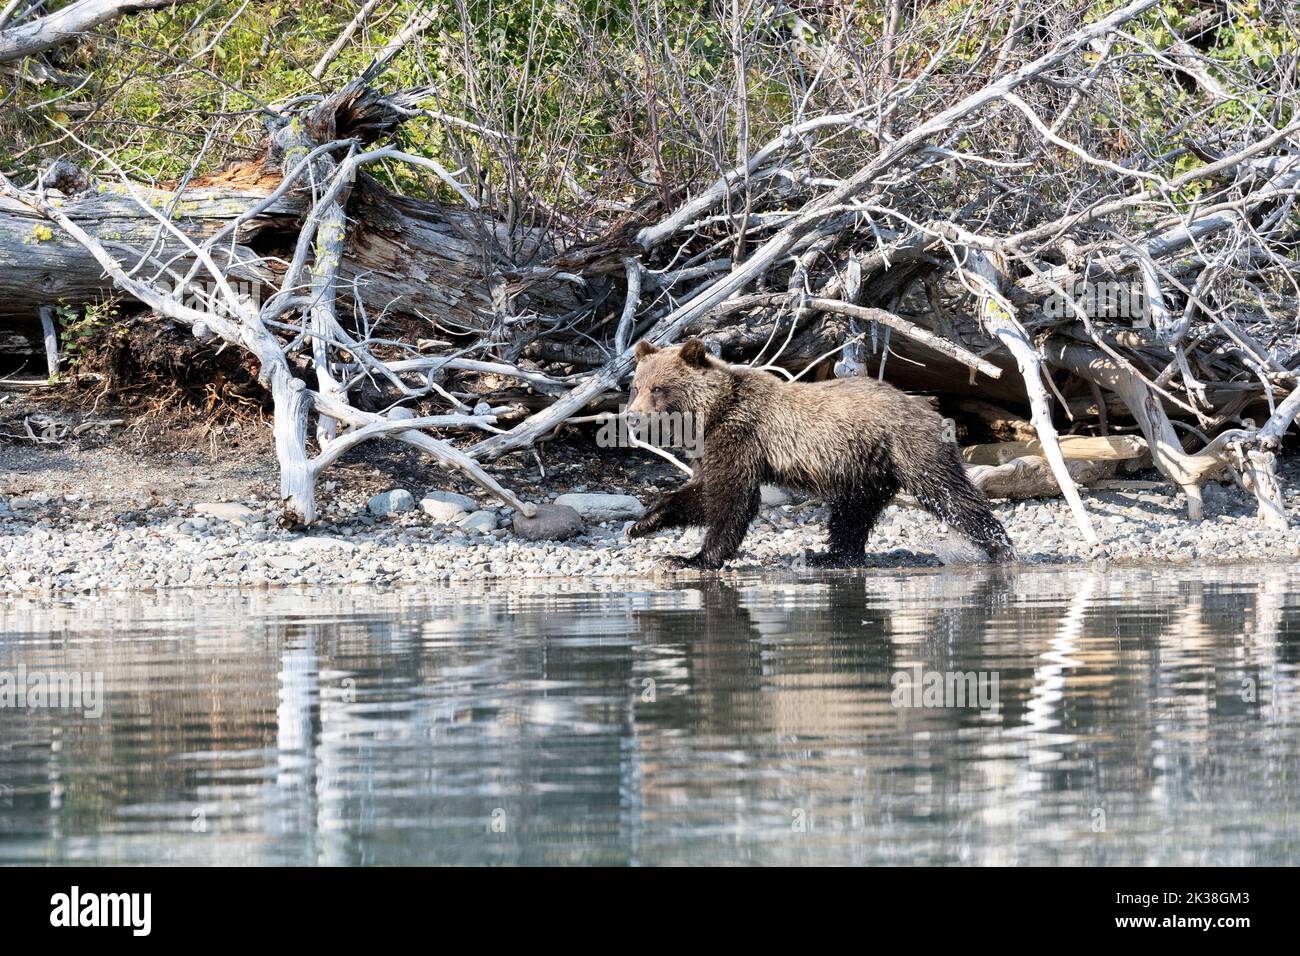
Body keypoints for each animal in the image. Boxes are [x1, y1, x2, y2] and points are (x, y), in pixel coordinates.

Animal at [624, 338, 1016, 570]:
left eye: (659, 388)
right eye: (636, 385)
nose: (632, 415)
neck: (713, 412)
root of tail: (929, 406)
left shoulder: (741, 436)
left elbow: (732, 498)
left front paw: (694, 557)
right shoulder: (712, 447)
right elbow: (699, 491)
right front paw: (644, 523)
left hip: (908, 448)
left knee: (950, 493)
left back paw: (999, 546)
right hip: (868, 469)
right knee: (852, 513)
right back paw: (831, 555)